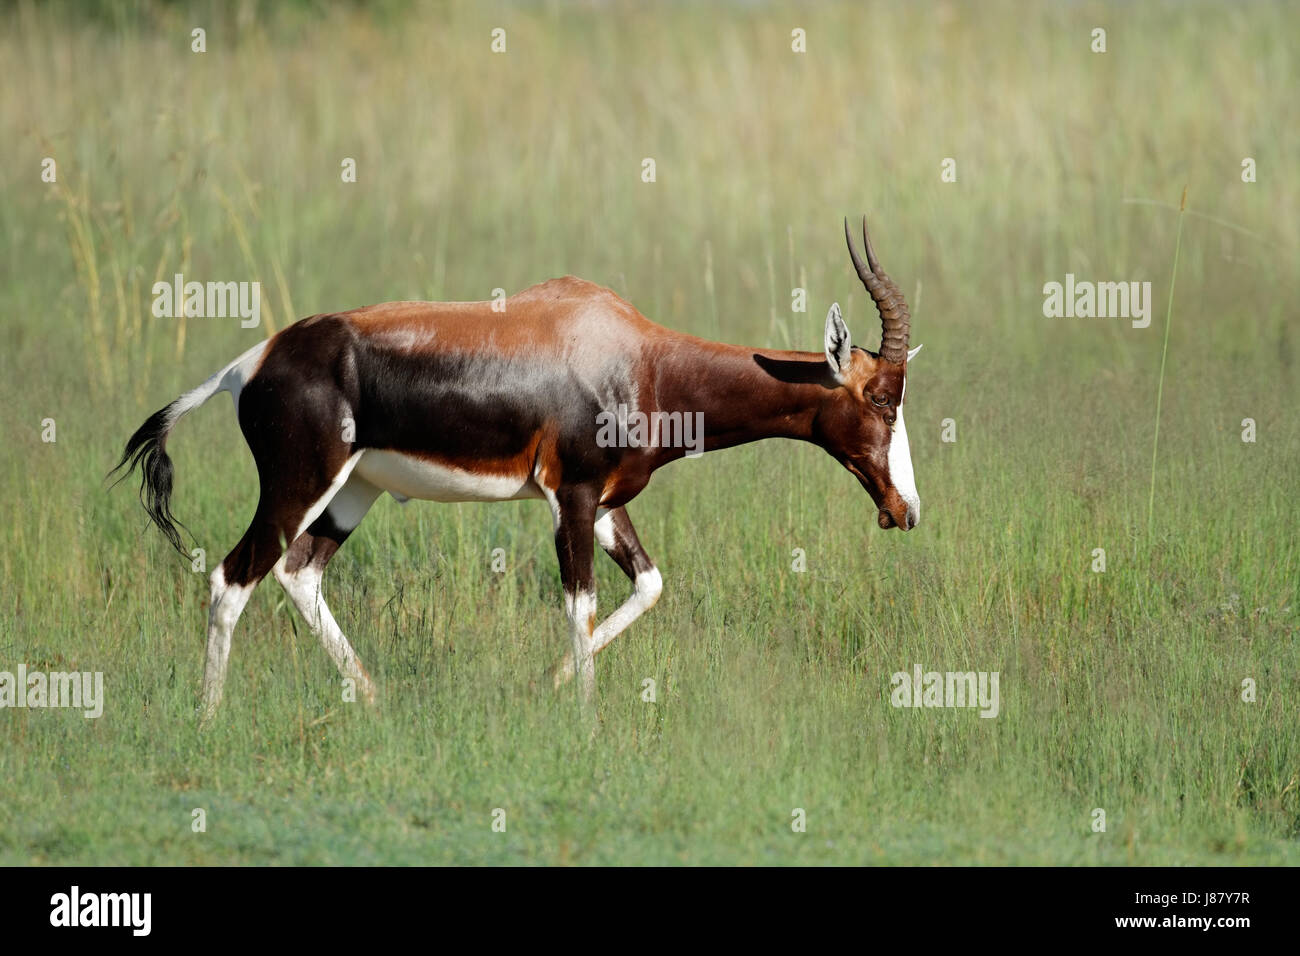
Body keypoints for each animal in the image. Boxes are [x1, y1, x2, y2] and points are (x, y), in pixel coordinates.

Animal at [112, 218, 921, 721]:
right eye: (881, 397)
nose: (904, 510)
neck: (640, 355)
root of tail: (251, 364)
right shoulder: (573, 497)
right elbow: (579, 604)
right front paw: (587, 723)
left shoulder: (606, 503)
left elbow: (649, 586)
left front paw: (545, 688)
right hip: (298, 485)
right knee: (232, 579)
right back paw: (209, 717)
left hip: (354, 492)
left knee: (299, 573)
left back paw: (374, 701)